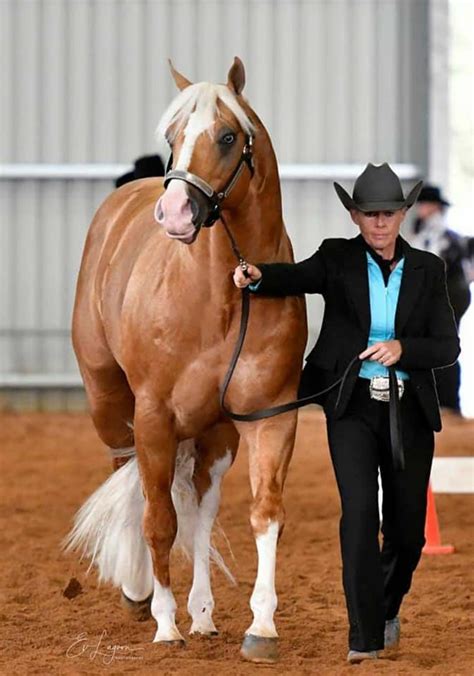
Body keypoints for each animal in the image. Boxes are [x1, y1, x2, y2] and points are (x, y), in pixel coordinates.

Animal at [66, 57, 307, 663]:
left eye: (227, 137)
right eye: (173, 137)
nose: (174, 212)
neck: (222, 295)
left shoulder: (271, 416)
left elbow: (264, 514)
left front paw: (260, 626)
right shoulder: (153, 417)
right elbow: (157, 520)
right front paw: (164, 623)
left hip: (215, 432)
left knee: (201, 509)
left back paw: (202, 615)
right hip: (111, 406)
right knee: (130, 482)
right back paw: (141, 594)